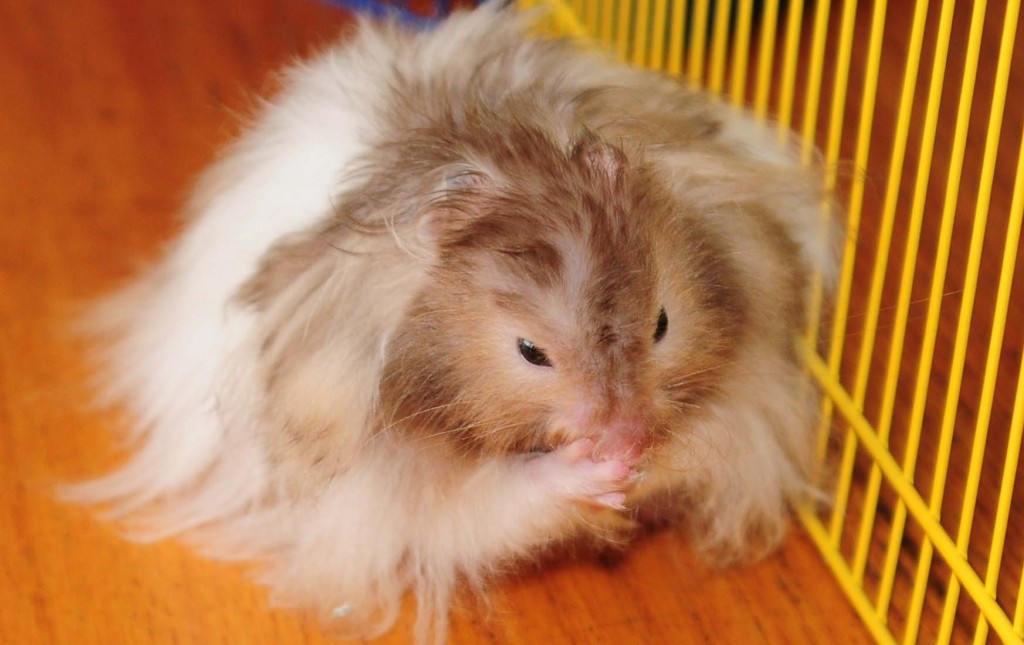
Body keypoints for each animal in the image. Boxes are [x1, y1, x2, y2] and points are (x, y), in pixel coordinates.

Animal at [71, 4, 838, 642]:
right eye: (530, 352)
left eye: (662, 323)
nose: (625, 438)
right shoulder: (386, 487)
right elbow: (495, 503)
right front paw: (598, 476)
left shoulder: (746, 398)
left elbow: (696, 446)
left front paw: (637, 472)